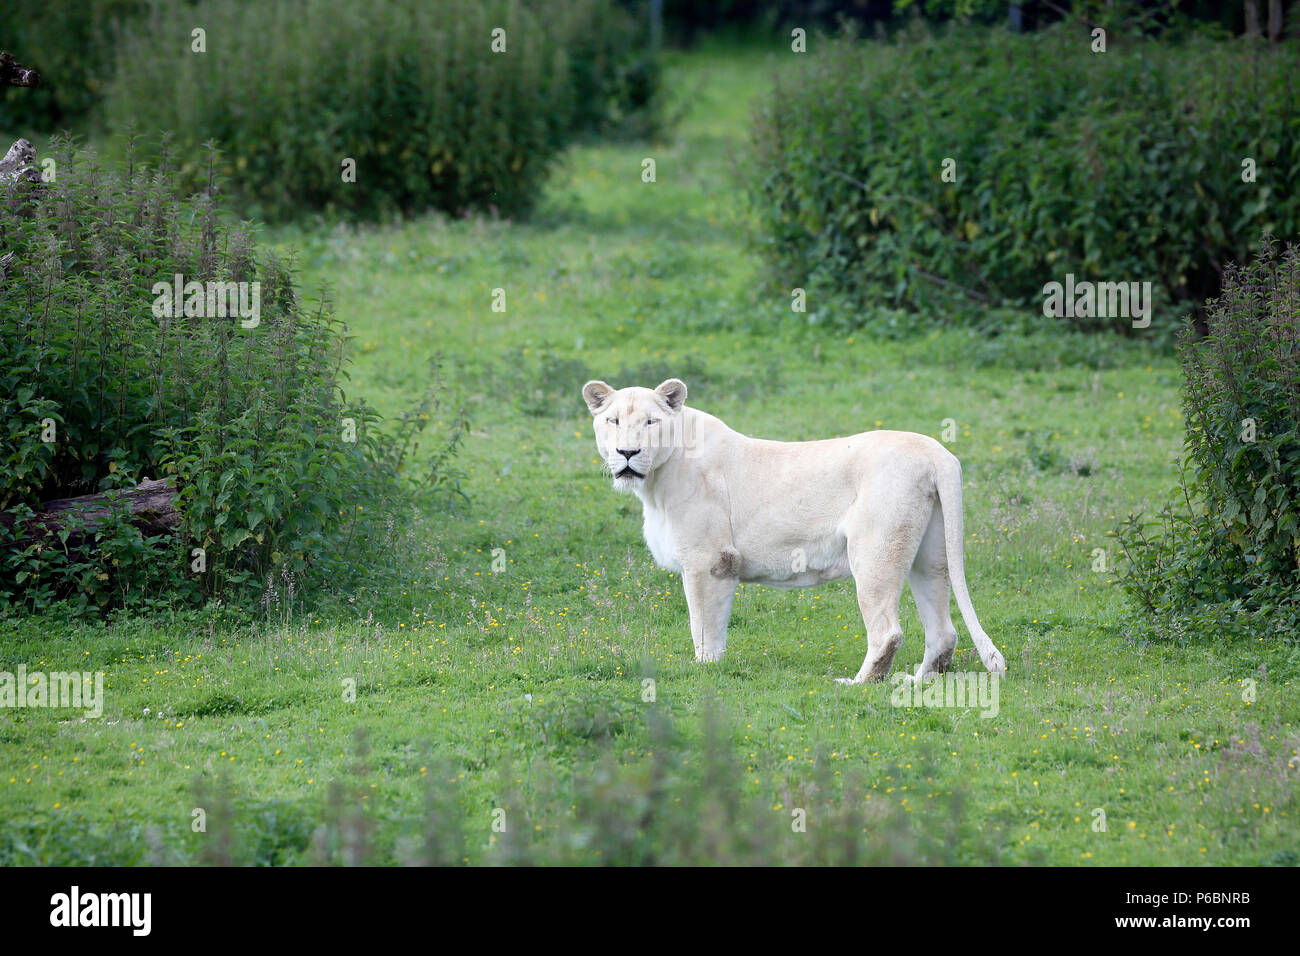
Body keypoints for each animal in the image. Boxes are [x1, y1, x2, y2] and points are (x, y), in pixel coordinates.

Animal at [581, 377, 1007, 683]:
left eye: (650, 422)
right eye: (613, 421)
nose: (627, 453)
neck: (654, 482)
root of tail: (935, 450)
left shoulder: (710, 561)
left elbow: (704, 625)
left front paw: (705, 670)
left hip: (875, 552)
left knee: (887, 631)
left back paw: (858, 684)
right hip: (928, 554)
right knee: (943, 630)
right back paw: (918, 682)